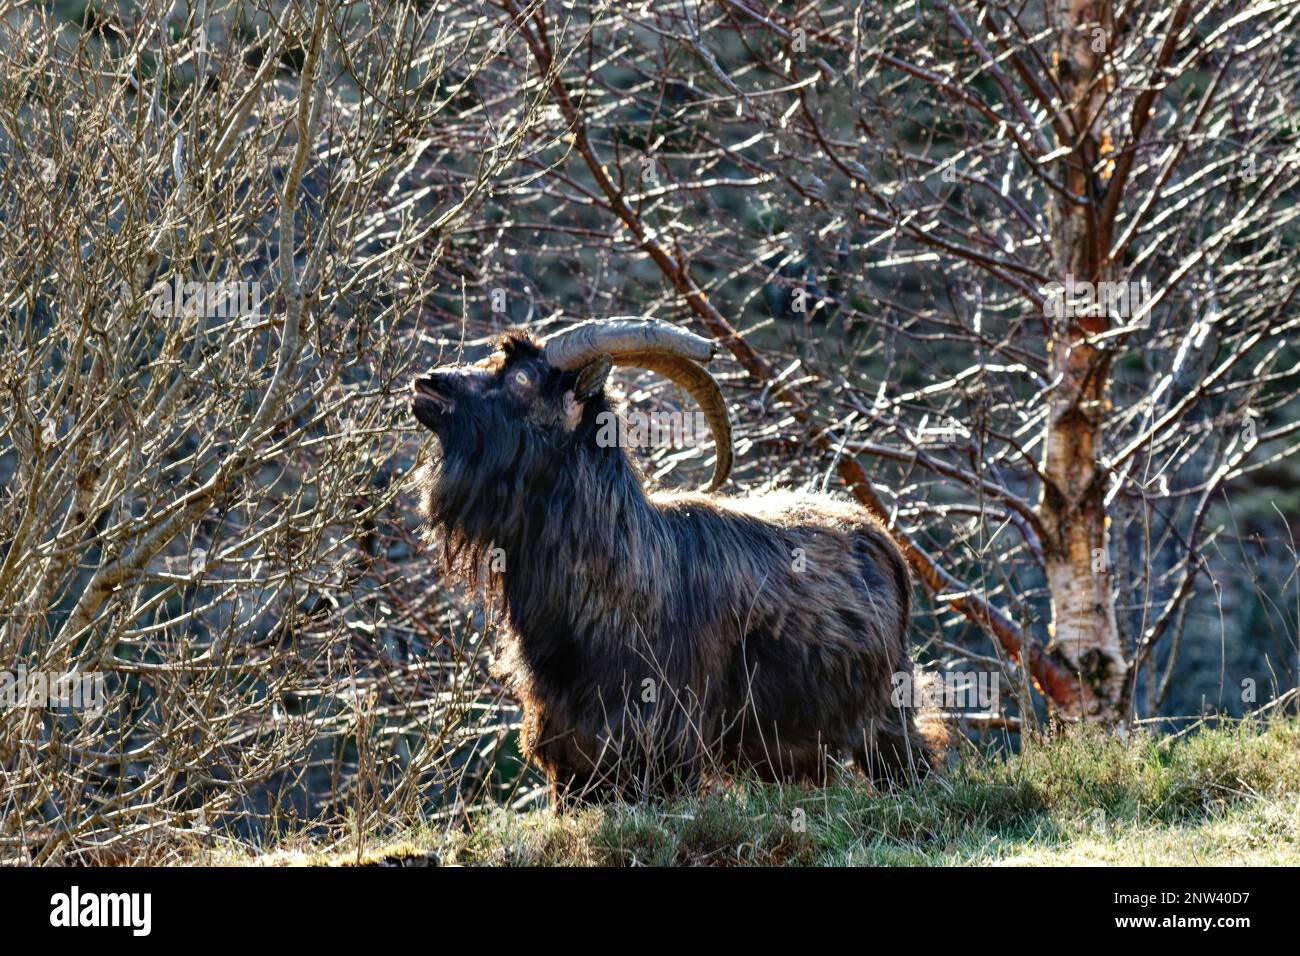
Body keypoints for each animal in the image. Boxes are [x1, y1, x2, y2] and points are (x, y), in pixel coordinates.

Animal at [412, 319, 937, 804]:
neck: (626, 559)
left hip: (886, 714)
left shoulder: (663, 741)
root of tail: (878, 536)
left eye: (522, 378)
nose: (428, 384)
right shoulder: (568, 750)